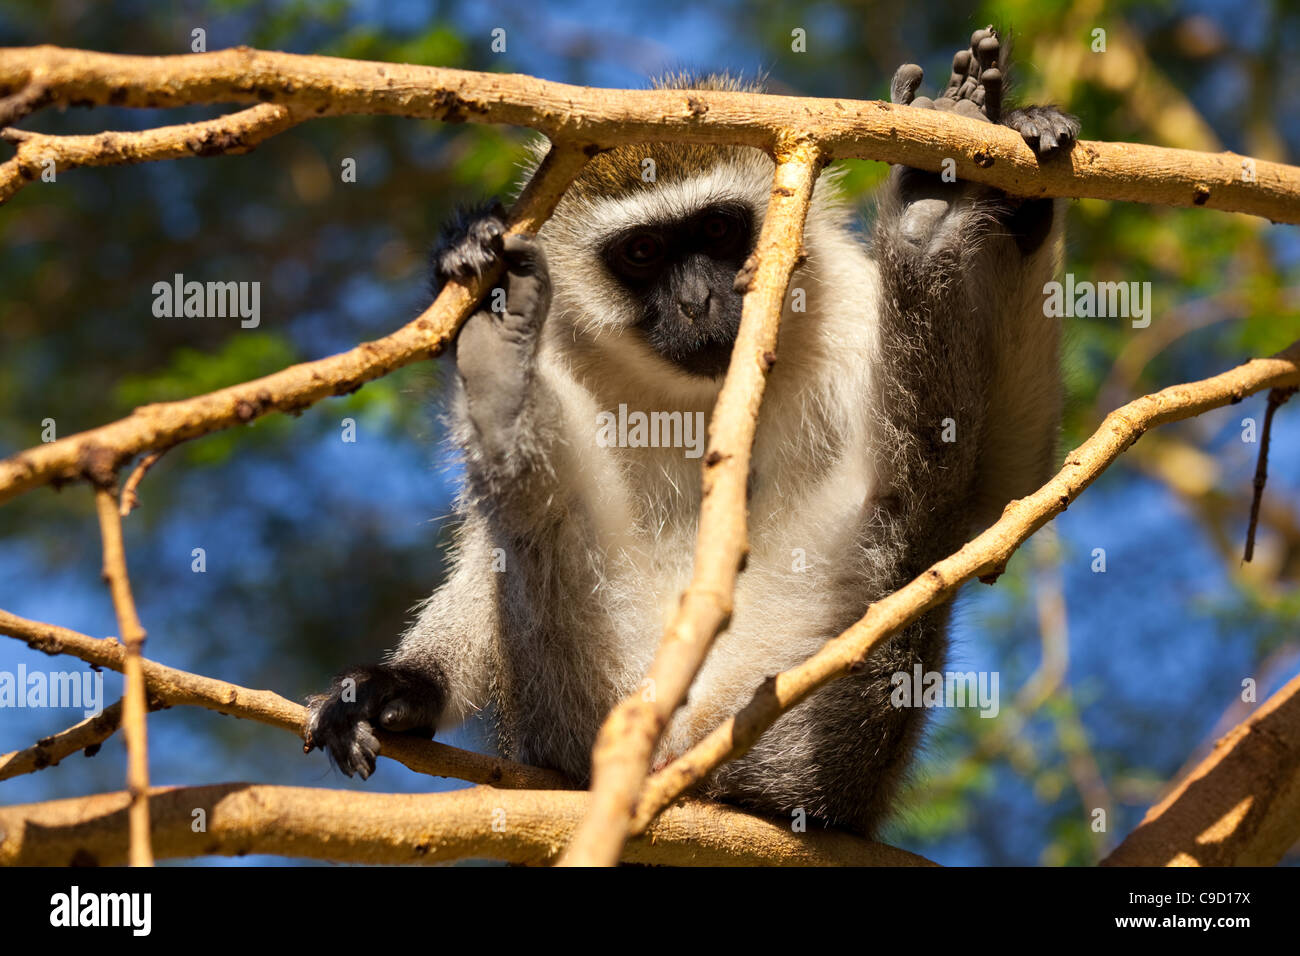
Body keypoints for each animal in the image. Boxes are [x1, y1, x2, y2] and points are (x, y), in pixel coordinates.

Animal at [304, 27, 1079, 837]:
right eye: (644, 252)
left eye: (716, 229)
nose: (700, 302)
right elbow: (485, 549)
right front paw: (404, 685)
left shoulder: (853, 301)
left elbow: (1004, 486)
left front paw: (1021, 164)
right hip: (572, 708)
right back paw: (499, 378)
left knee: (913, 508)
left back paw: (931, 216)